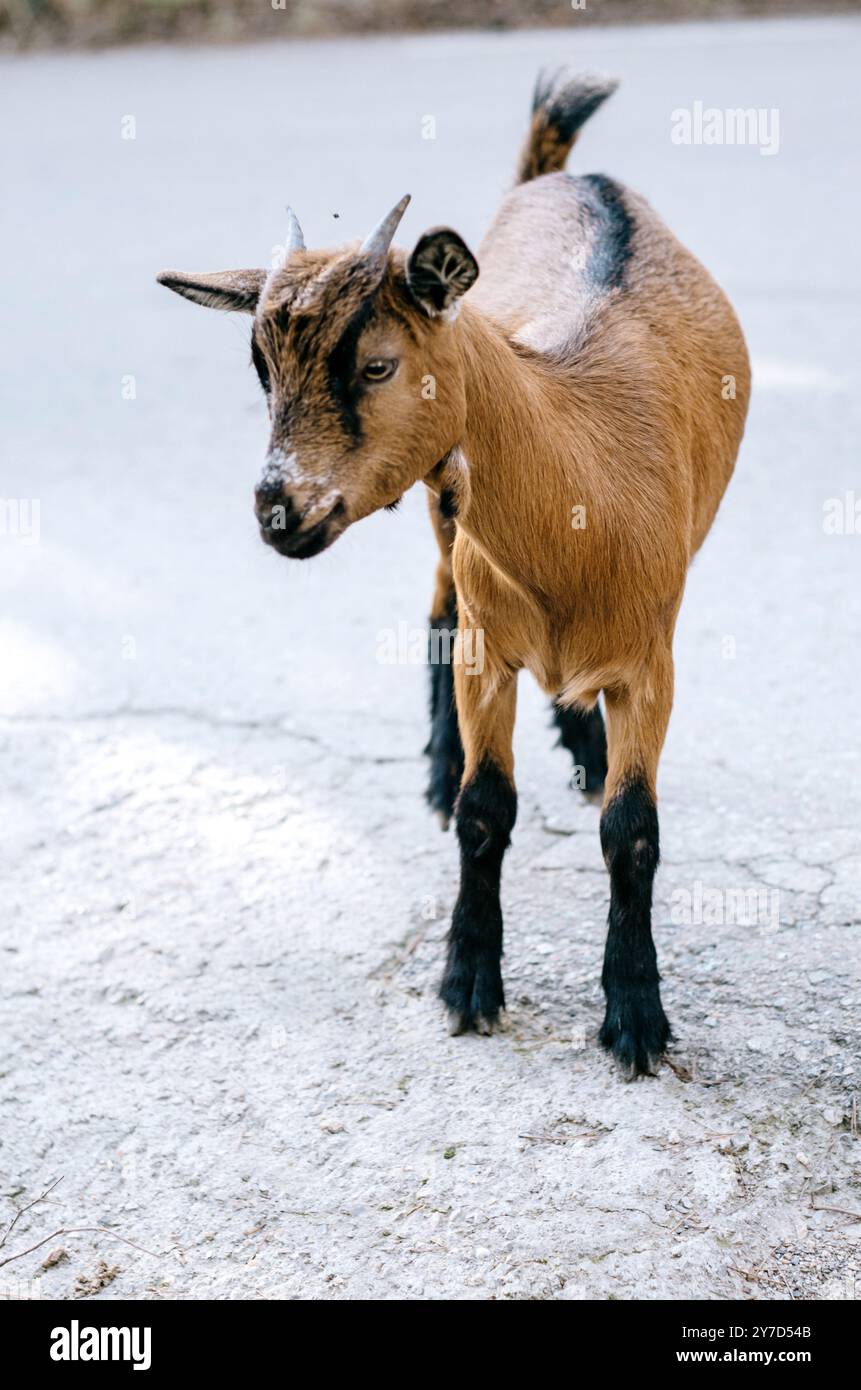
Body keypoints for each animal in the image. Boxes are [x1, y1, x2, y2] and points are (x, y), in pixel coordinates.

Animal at [157, 69, 750, 1077]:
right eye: (261, 369)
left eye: (376, 365)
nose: (279, 511)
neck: (579, 489)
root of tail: (569, 174)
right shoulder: (487, 641)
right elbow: (485, 808)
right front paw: (467, 982)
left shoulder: (651, 661)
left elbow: (631, 834)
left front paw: (635, 1016)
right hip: (444, 514)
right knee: (436, 611)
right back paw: (441, 768)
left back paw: (583, 747)